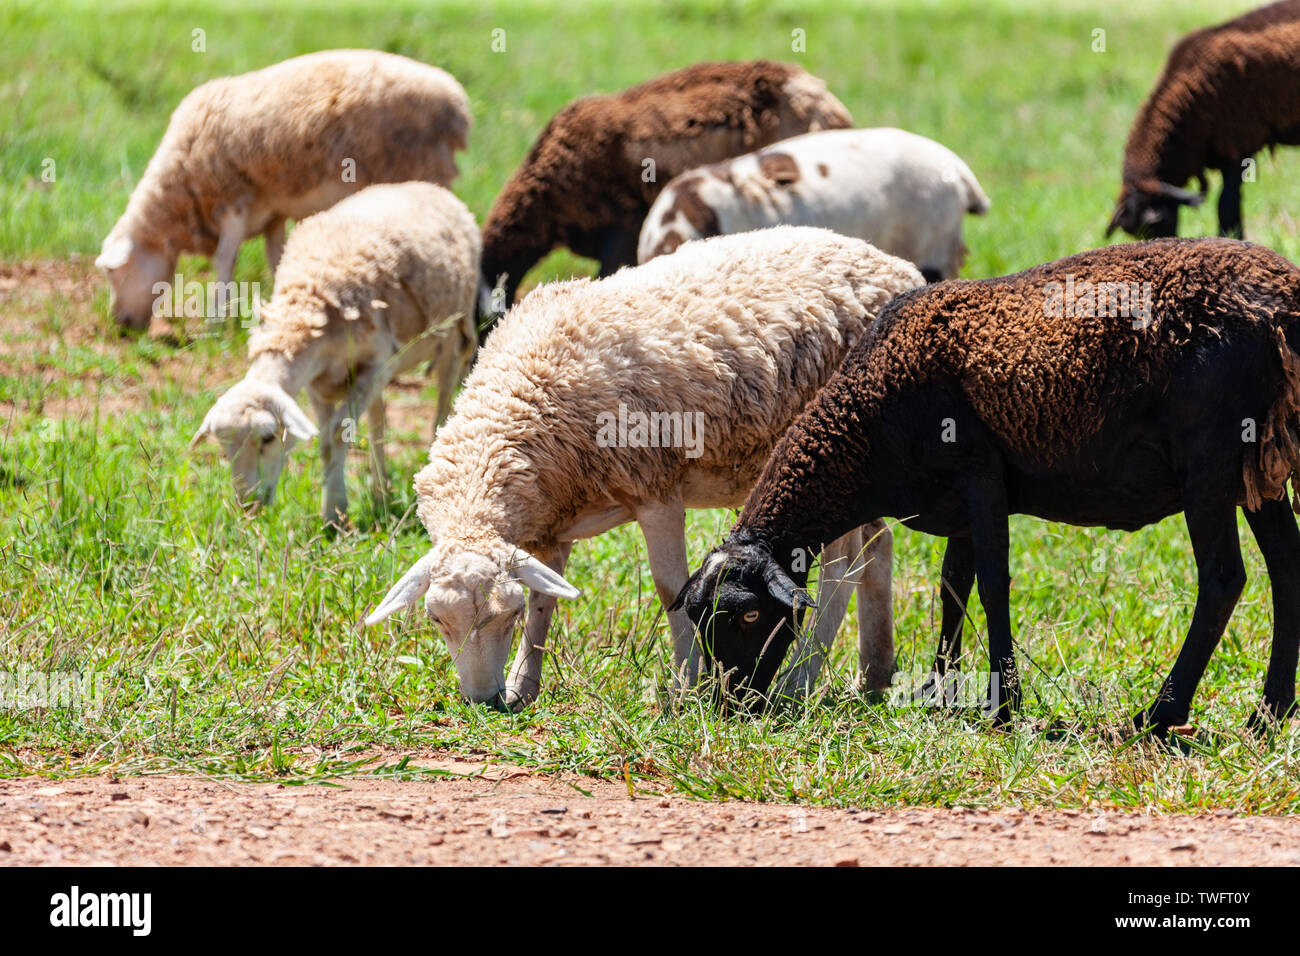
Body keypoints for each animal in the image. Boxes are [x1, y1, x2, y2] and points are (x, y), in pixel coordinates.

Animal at [95, 49, 471, 331]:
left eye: (114, 273)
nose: (121, 325)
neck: (179, 193)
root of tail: (457, 109)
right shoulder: (271, 214)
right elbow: (276, 257)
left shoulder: (233, 201)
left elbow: (225, 260)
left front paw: (215, 321)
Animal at [190, 181, 480, 528]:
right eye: (224, 447)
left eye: (268, 439)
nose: (249, 506)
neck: (306, 305)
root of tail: (425, 186)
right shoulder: (318, 382)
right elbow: (328, 443)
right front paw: (332, 512)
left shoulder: (374, 365)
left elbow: (340, 433)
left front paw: (336, 510)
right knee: (379, 420)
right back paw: (381, 492)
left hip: (452, 333)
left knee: (443, 402)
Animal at [365, 226, 924, 709]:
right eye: (436, 620)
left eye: (509, 613)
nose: (481, 701)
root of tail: (898, 267)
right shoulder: (552, 520)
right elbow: (548, 596)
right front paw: (525, 686)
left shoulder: (655, 488)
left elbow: (668, 586)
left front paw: (687, 686)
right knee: (878, 549)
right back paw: (873, 674)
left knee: (843, 567)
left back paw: (801, 679)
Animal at [674, 237, 1300, 737]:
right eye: (699, 619)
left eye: (747, 617)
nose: (733, 706)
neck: (867, 422)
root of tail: (1284, 301)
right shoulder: (958, 501)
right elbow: (954, 585)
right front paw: (938, 692)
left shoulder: (980, 474)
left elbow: (994, 585)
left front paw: (1004, 706)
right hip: (1260, 469)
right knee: (1285, 570)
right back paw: (1268, 715)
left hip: (1209, 456)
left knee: (1223, 578)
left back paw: (1161, 715)